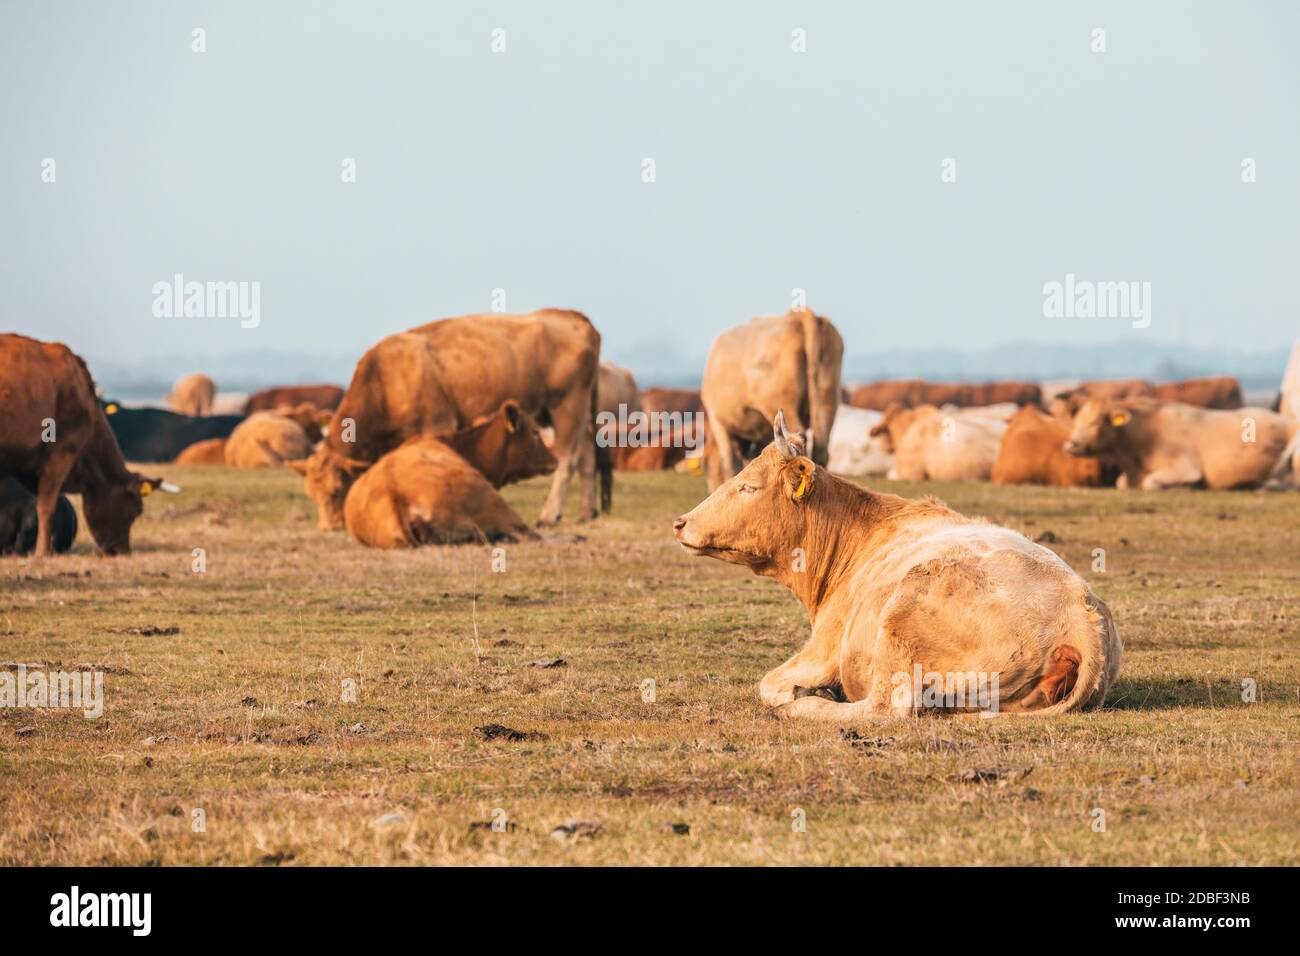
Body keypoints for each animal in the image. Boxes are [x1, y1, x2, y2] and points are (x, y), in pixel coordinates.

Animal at [293, 310, 600, 531]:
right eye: (310, 493)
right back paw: (585, 513)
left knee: (567, 461)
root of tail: (575, 318)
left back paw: (549, 515)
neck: (386, 378)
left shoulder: (438, 425)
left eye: (336, 490)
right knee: (587, 460)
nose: (329, 527)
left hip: (567, 409)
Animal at [701, 308, 843, 491]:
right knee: (821, 449)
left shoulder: (718, 422)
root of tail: (797, 315)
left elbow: (730, 463)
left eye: (705, 466)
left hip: (783, 405)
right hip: (828, 400)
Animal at [1064, 398, 1300, 490]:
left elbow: (1151, 482)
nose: (1070, 445)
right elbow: (1121, 483)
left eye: (1095, 422)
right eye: (1076, 422)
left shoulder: (1186, 467)